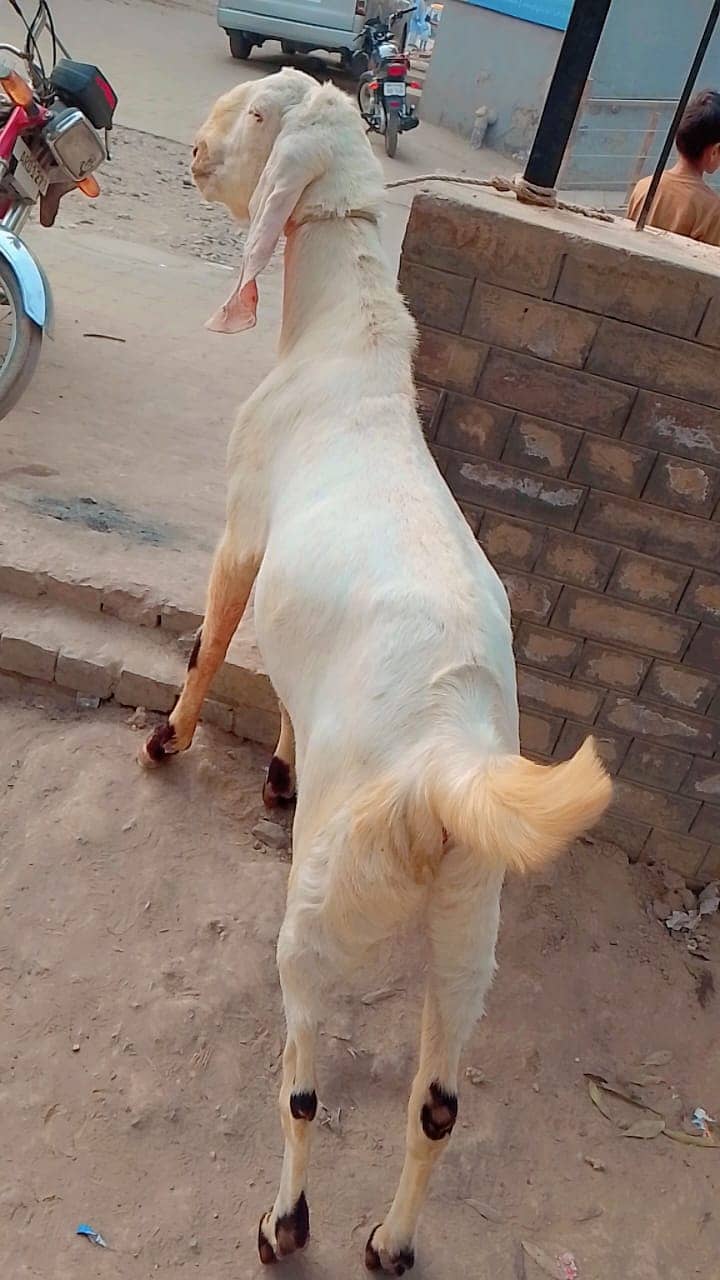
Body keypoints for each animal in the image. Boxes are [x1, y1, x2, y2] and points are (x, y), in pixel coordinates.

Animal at [140, 69, 611, 1275]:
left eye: (262, 114)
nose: (195, 150)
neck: (333, 350)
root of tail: (446, 771)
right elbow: (285, 686)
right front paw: (277, 768)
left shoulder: (243, 528)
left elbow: (216, 634)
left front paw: (166, 738)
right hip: (471, 934)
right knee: (438, 1102)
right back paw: (388, 1243)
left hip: (320, 912)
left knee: (305, 1079)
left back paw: (284, 1222)